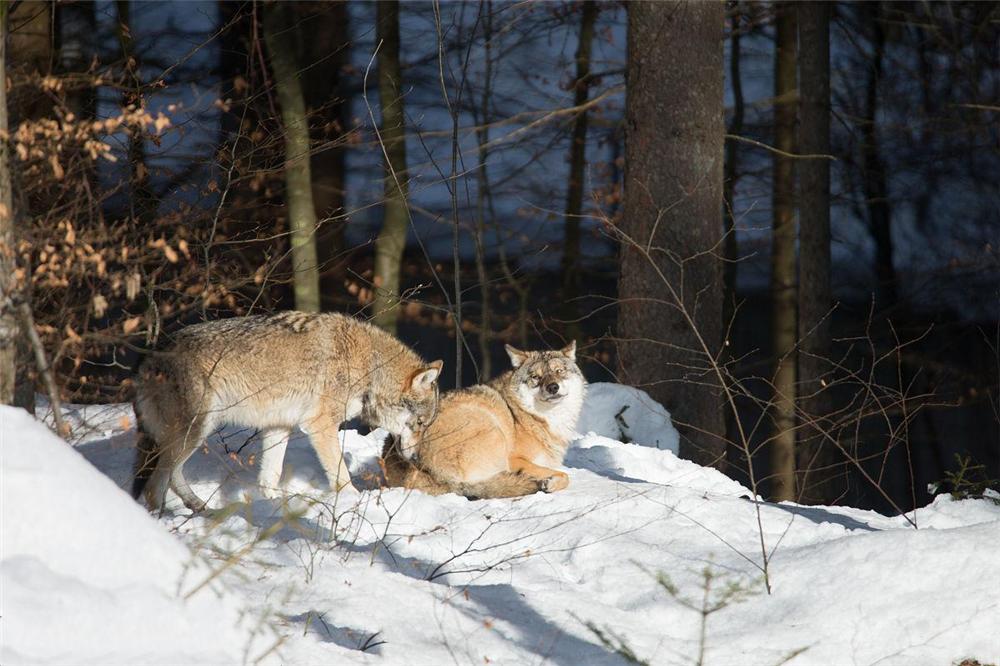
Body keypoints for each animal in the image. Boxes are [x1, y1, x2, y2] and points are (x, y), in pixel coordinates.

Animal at [131, 311, 442, 512]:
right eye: (420, 423)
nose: (417, 459)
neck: (371, 367)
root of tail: (148, 359)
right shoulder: (320, 425)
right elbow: (341, 475)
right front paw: (353, 501)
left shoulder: (279, 426)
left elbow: (270, 475)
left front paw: (271, 508)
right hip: (195, 430)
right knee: (155, 485)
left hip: (196, 432)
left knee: (172, 476)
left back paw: (198, 507)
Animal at [381, 342, 584, 499]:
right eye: (536, 377)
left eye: (559, 371)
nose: (553, 387)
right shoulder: (515, 459)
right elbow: (565, 476)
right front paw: (549, 482)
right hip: (494, 430)